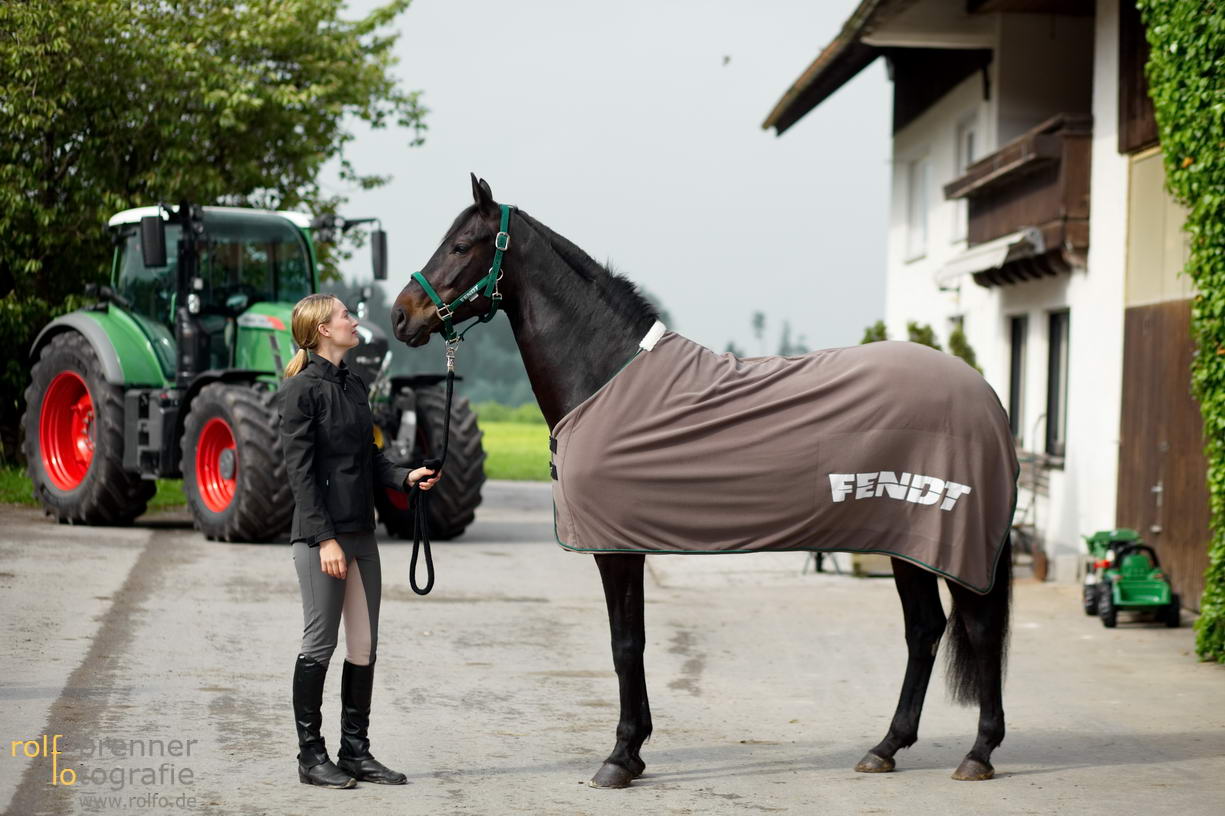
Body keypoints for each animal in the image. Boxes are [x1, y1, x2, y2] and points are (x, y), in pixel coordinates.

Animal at [392, 175, 1014, 784]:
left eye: (460, 246)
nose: (401, 315)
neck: (606, 377)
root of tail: (984, 392)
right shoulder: (625, 543)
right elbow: (635, 641)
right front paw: (635, 749)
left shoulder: (614, 547)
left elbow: (625, 643)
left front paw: (619, 756)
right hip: (907, 543)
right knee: (924, 630)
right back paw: (886, 747)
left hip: (950, 539)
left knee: (980, 629)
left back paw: (978, 753)